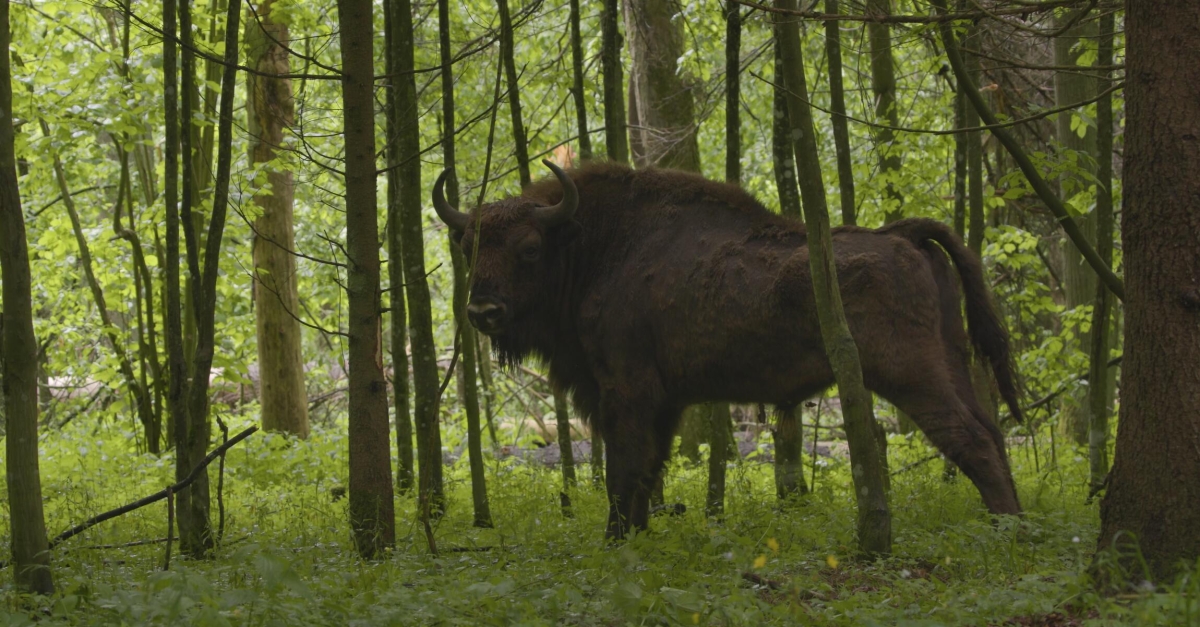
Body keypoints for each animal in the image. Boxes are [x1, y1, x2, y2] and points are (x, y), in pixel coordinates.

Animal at [433, 160, 1023, 539]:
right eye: (469, 248)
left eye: (530, 249)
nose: (482, 310)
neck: (593, 244)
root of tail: (903, 237)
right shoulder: (665, 403)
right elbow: (649, 468)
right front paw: (639, 537)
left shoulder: (626, 391)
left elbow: (626, 467)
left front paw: (615, 541)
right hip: (951, 359)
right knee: (991, 431)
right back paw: (1019, 518)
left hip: (910, 373)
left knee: (969, 438)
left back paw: (1008, 529)